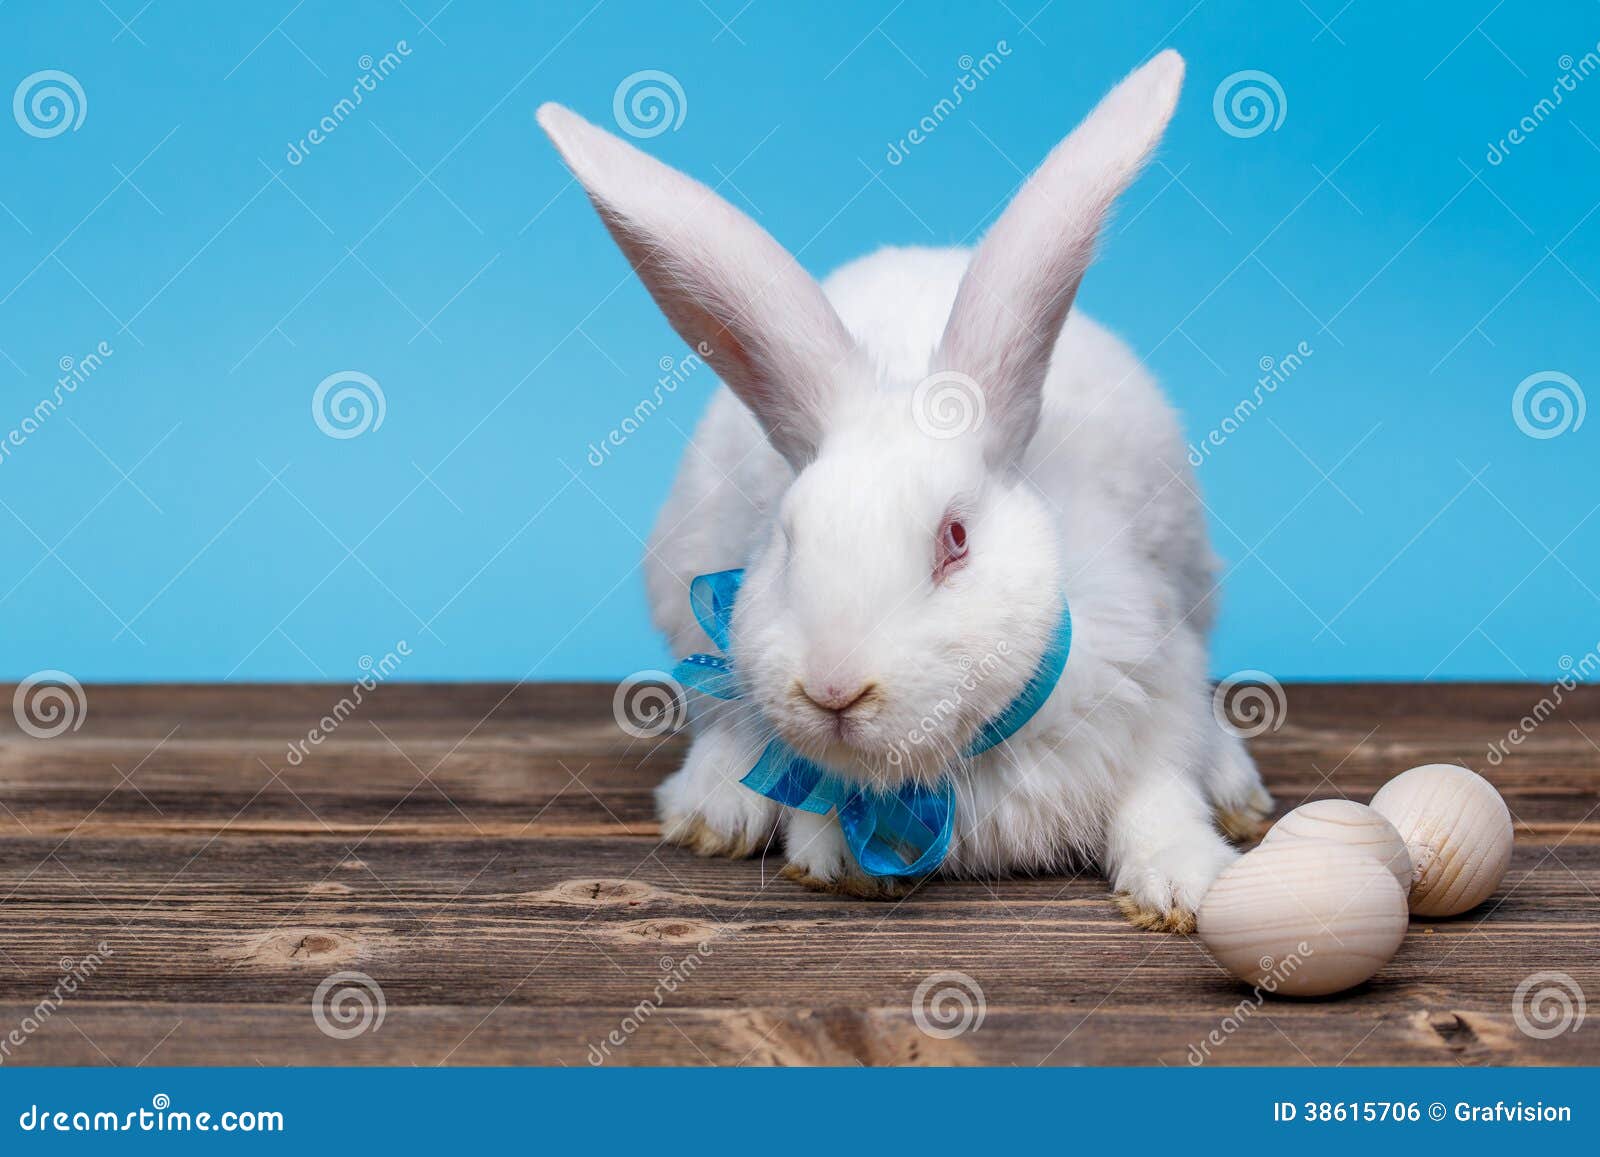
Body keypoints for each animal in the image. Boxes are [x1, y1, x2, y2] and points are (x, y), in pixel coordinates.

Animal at [538, 49, 1273, 931]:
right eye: (787, 540)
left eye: (954, 540)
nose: (833, 689)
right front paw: (835, 859)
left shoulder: (1154, 677)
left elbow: (1158, 796)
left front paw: (1183, 887)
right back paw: (715, 807)